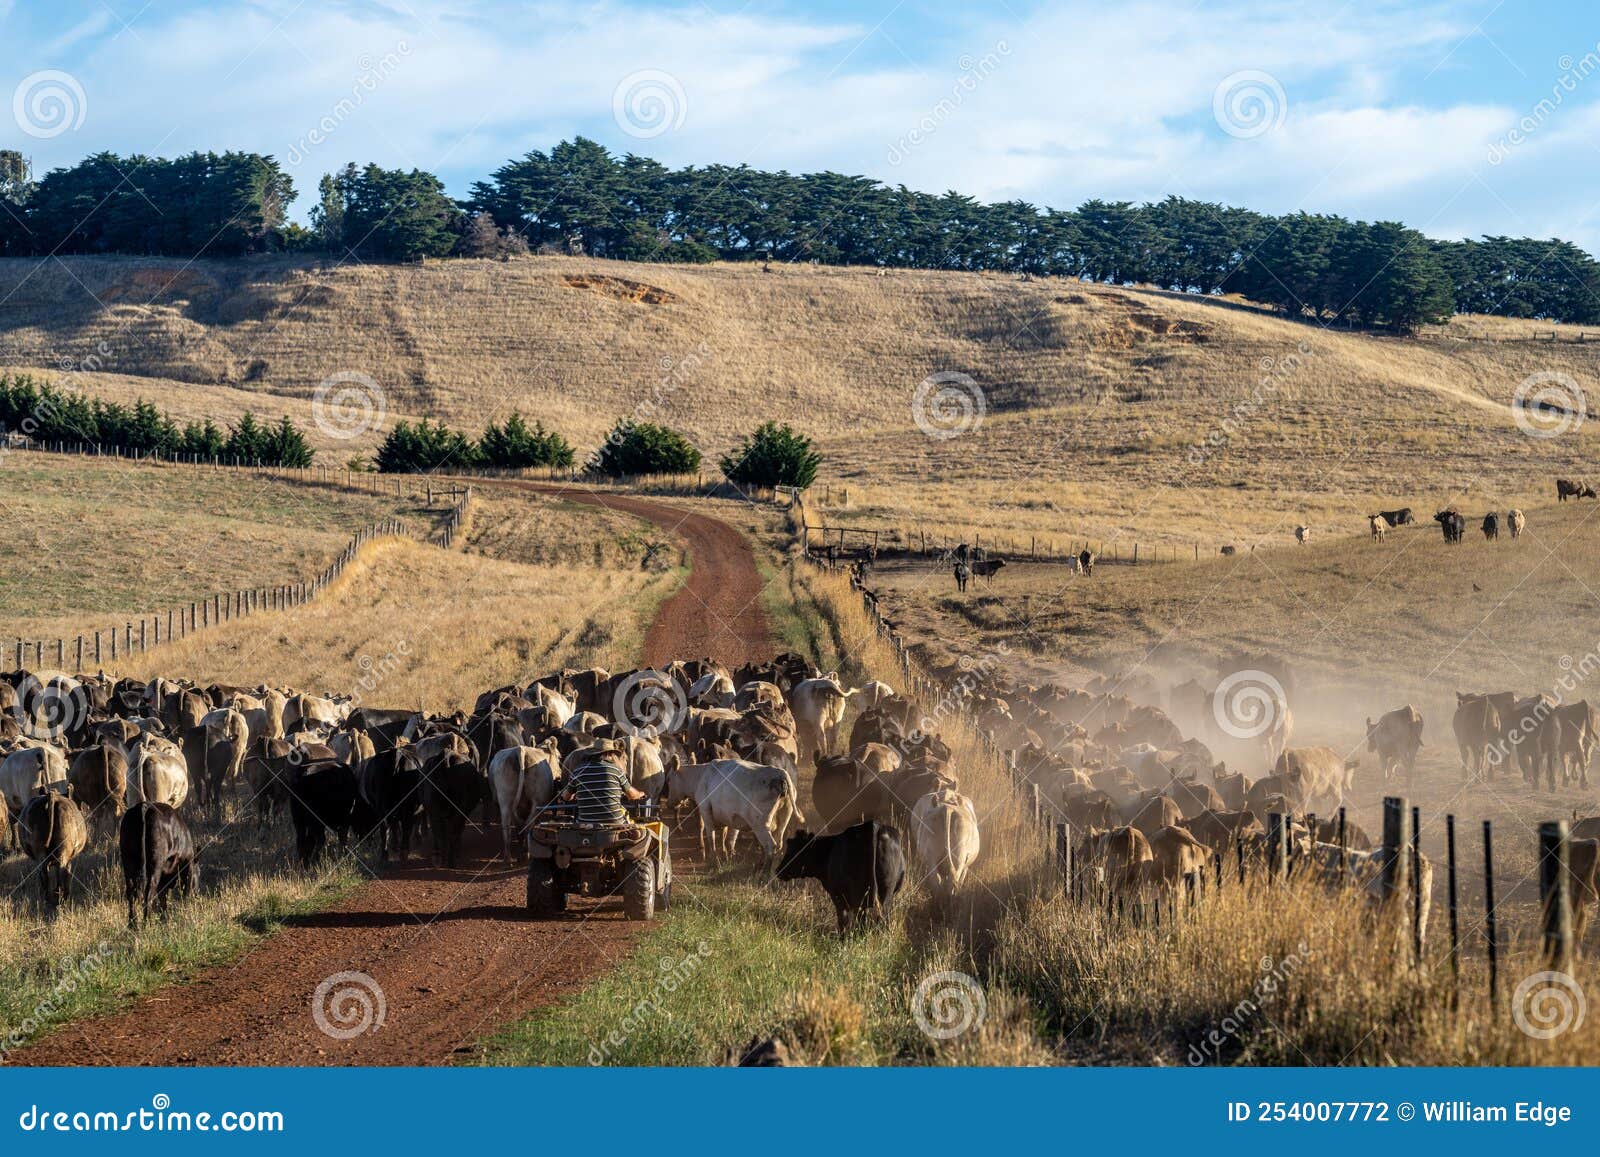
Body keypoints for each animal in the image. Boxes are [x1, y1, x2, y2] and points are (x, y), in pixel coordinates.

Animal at [775, 822, 906, 934]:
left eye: (794, 850)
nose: (778, 870)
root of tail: (873, 825)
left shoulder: (836, 895)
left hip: (856, 894)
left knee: (855, 919)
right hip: (885, 891)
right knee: (881, 918)